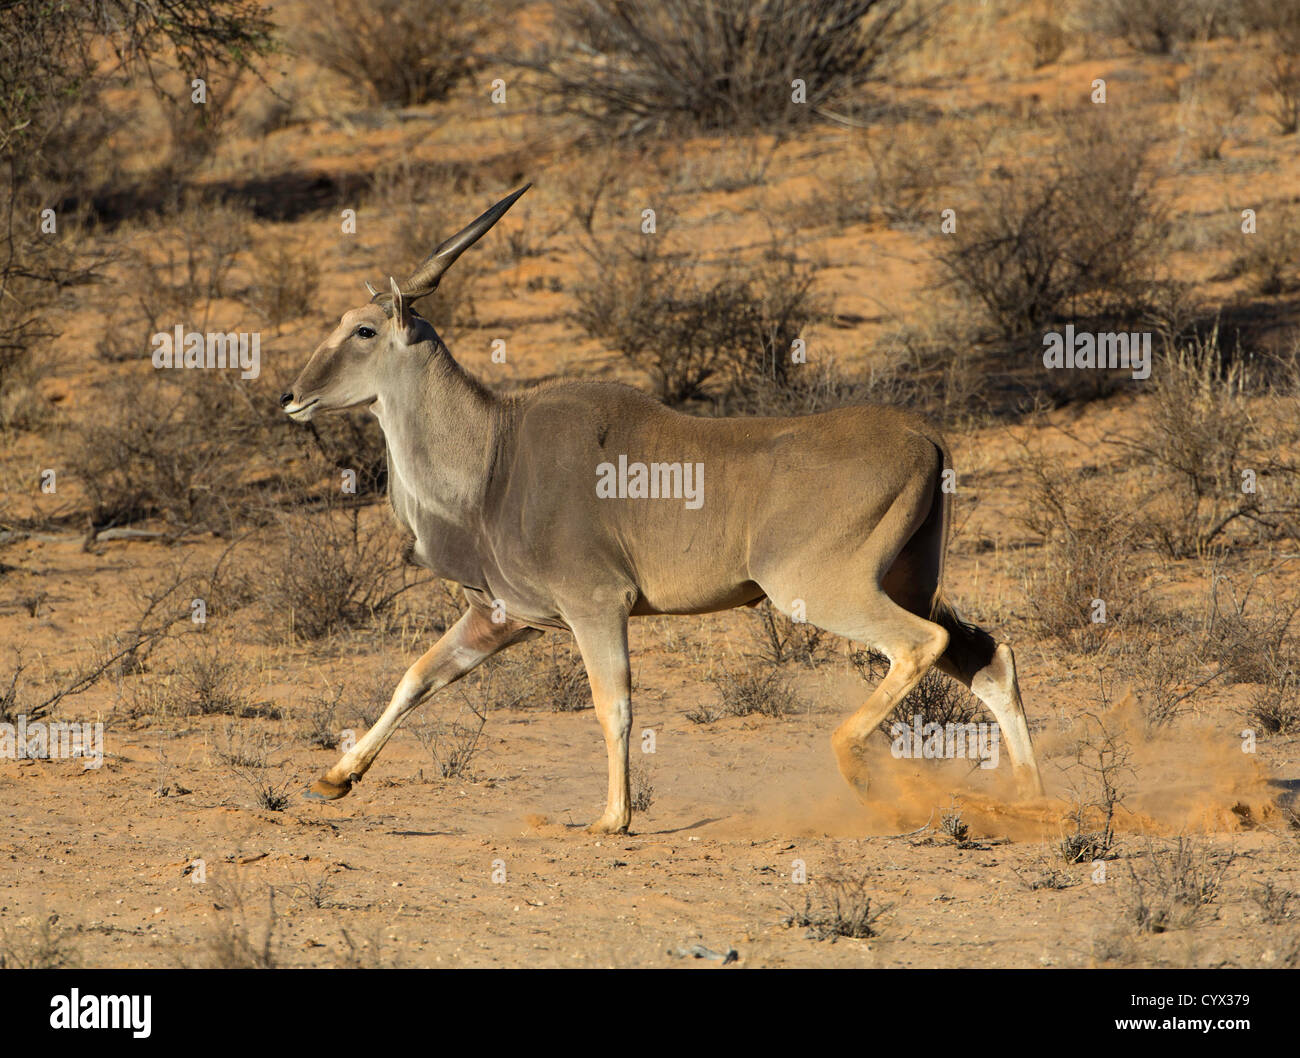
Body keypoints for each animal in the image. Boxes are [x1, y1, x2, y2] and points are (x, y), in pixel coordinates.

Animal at [283, 186, 1044, 834]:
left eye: (361, 331)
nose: (291, 396)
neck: (495, 453)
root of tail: (925, 436)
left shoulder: (597, 607)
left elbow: (613, 705)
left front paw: (612, 818)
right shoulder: (499, 619)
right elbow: (416, 678)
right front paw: (335, 778)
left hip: (820, 590)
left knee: (921, 644)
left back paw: (863, 767)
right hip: (909, 581)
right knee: (990, 659)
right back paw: (1032, 800)